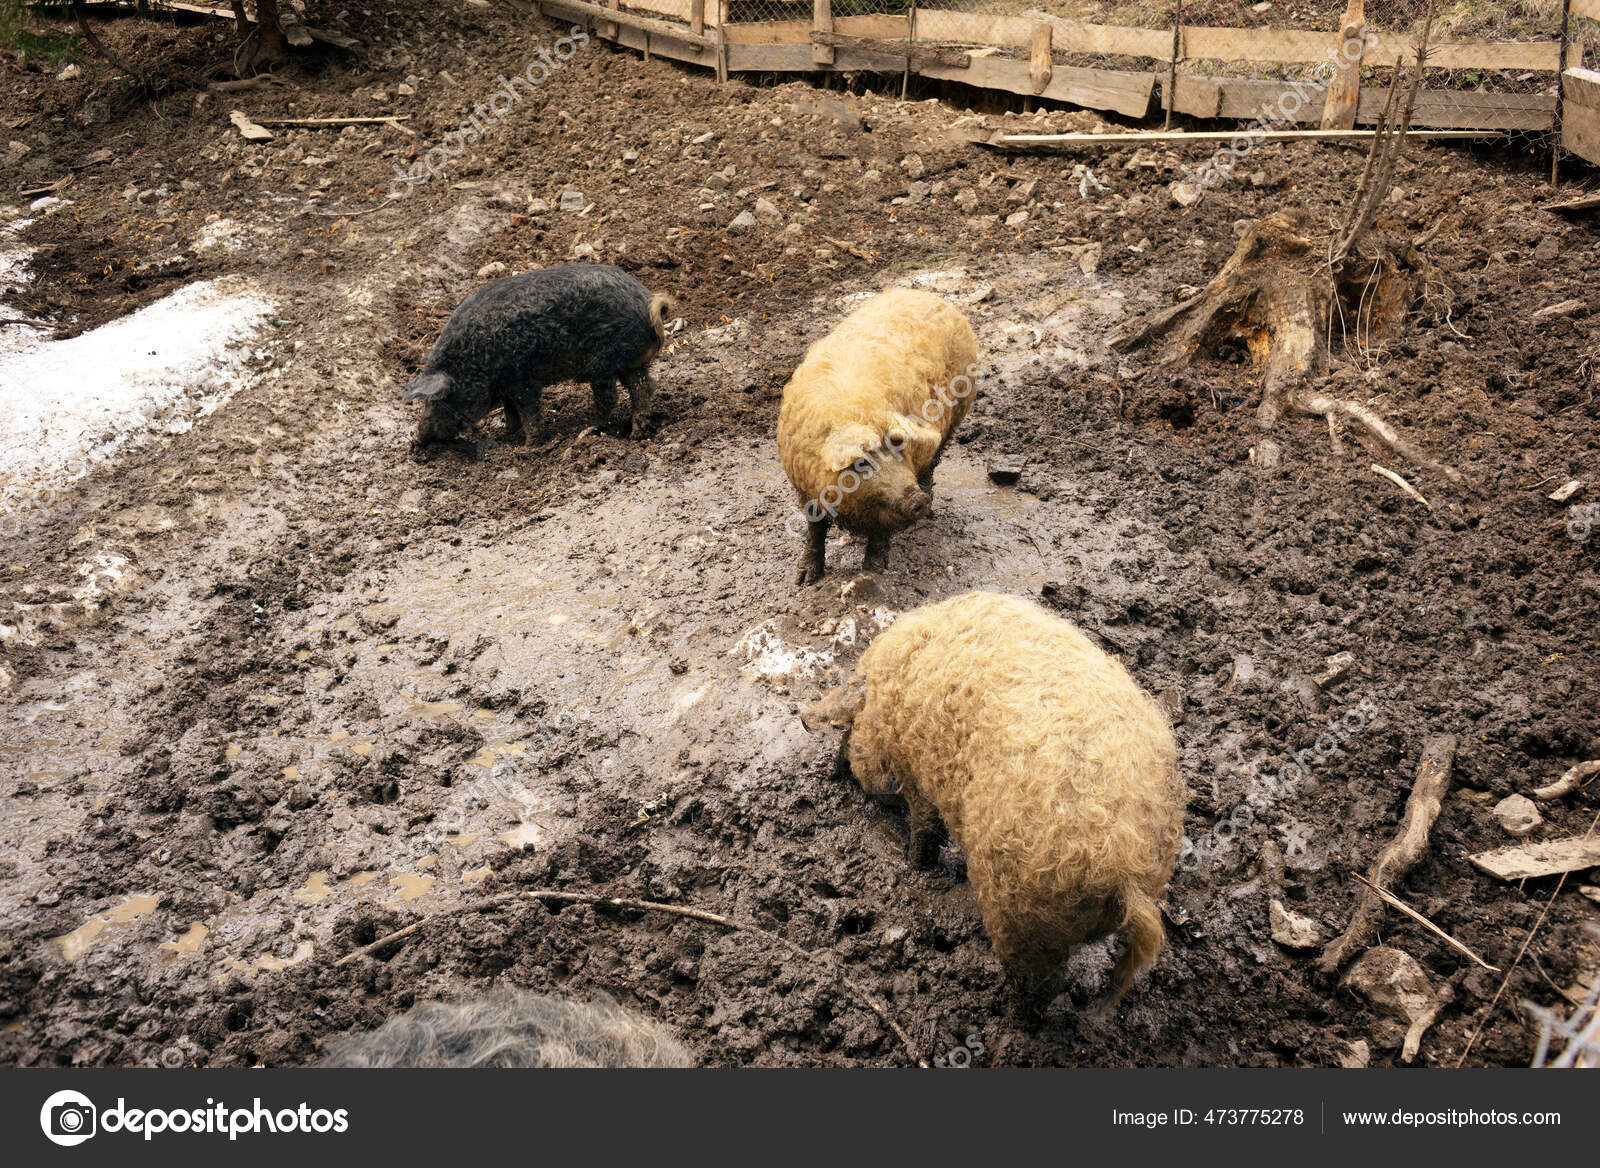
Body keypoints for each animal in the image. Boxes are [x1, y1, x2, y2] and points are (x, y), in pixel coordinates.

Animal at [407, 264, 675, 451]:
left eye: (439, 400)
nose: (416, 440)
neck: (474, 361)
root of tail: (647, 305)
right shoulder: (506, 385)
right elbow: (511, 413)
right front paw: (506, 437)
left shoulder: (520, 377)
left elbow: (529, 411)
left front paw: (527, 447)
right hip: (628, 362)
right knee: (644, 388)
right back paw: (636, 433)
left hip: (602, 363)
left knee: (610, 397)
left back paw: (587, 430)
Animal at [776, 288, 979, 584]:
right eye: (861, 462)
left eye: (898, 445)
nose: (915, 499)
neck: (852, 410)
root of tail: (936, 299)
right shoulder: (803, 485)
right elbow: (815, 528)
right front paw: (804, 580)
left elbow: (881, 531)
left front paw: (874, 572)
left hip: (957, 413)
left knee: (932, 464)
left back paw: (928, 507)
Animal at [808, 591, 1184, 1011]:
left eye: (851, 731)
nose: (839, 768)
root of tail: (1127, 876)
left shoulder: (919, 773)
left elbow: (925, 831)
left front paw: (914, 866)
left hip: (1016, 914)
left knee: (1040, 982)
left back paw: (1007, 1009)